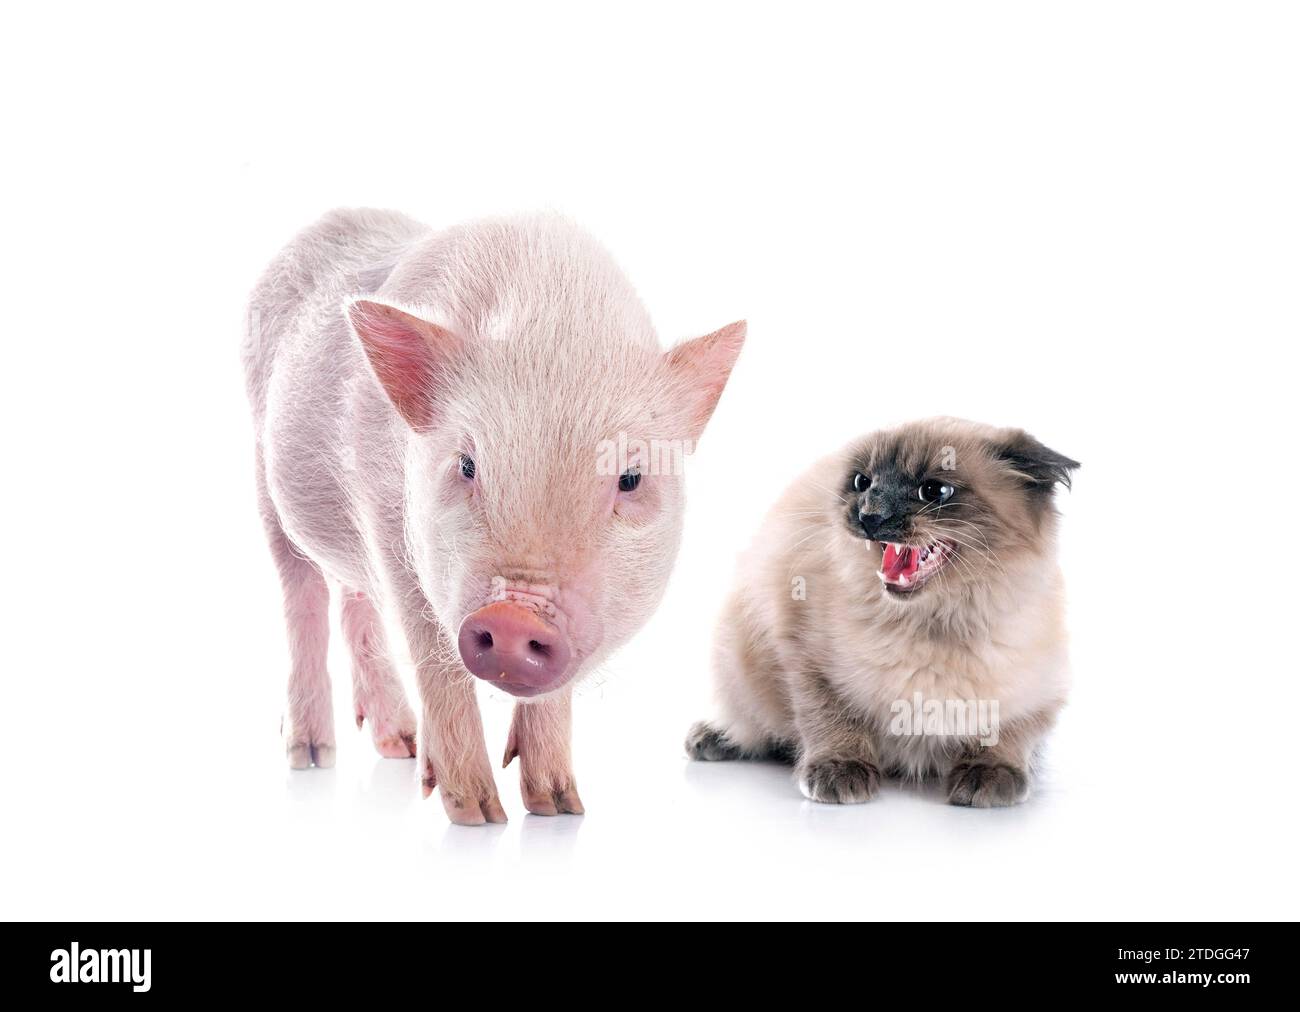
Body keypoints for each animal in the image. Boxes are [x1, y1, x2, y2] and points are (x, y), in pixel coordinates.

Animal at [242, 209, 744, 825]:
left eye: (630, 477)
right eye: (467, 464)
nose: (512, 616)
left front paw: (559, 807)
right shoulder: (389, 520)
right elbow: (433, 656)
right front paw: (476, 815)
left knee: (352, 597)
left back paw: (399, 746)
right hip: (262, 470)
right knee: (302, 593)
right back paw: (311, 756)